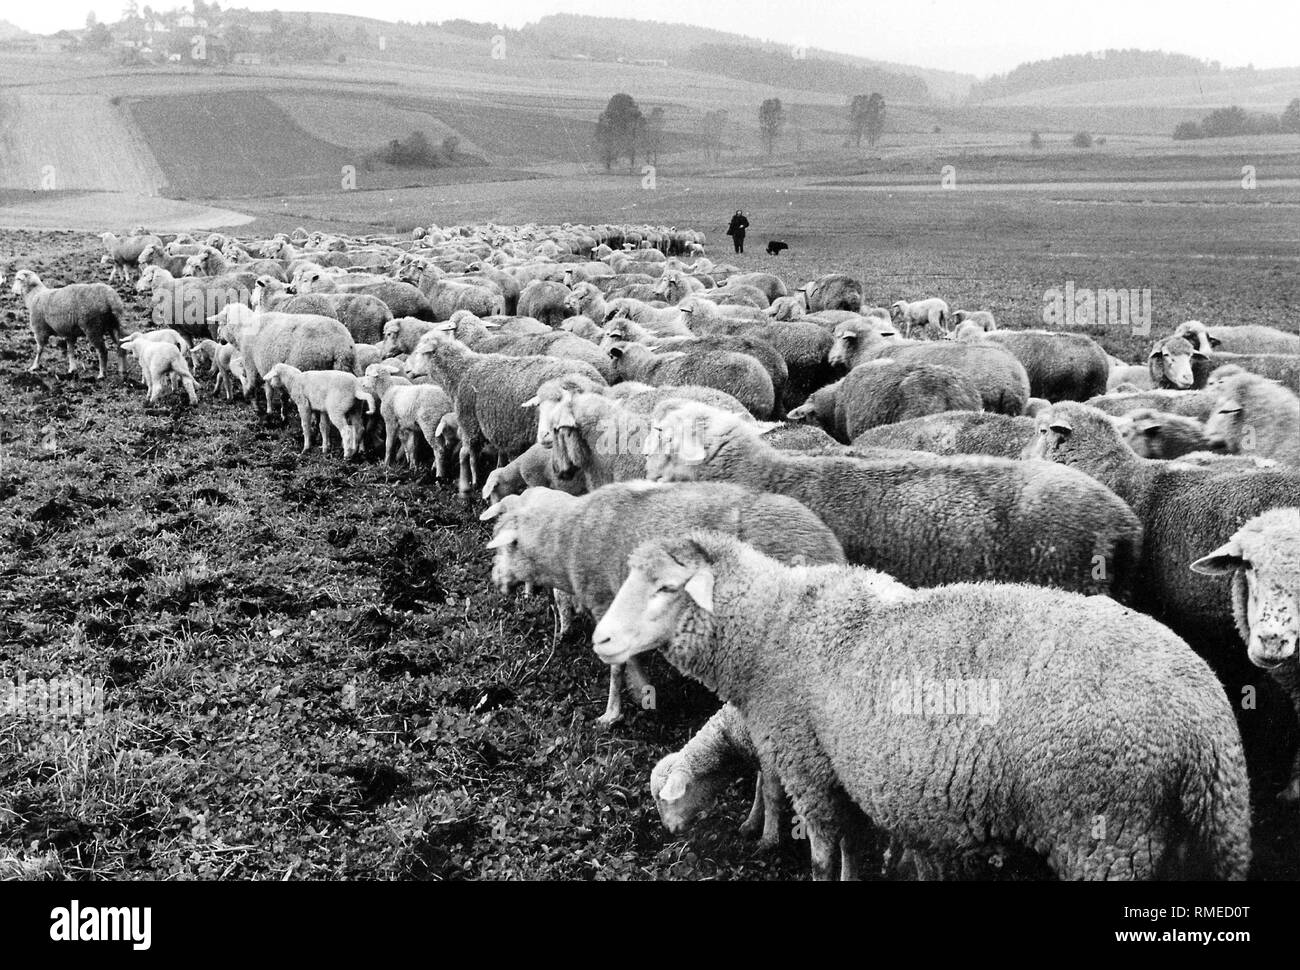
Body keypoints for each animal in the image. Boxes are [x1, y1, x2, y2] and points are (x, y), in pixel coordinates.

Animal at [211, 304, 356, 417]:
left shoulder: (251, 363)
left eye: (221, 323)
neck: (243, 331)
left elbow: (253, 386)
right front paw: (275, 411)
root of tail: (341, 348)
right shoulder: (267, 367)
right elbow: (272, 392)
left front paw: (255, 406)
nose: (218, 339)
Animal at [403, 330, 606, 494]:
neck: (462, 372)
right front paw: (498, 467)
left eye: (420, 352)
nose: (406, 369)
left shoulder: (471, 424)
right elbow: (500, 453)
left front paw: (475, 481)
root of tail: (595, 378)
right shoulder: (501, 426)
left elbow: (471, 456)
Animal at [481, 481, 845, 725]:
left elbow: (617, 667)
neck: (569, 538)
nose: (496, 581)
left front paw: (615, 710)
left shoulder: (606, 607)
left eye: (506, 545)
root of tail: (831, 547)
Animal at [651, 703, 789, 849]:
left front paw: (768, 839)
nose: (667, 829)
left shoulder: (772, 757)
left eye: (665, 799)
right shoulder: (762, 758)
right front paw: (751, 824)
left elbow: (770, 795)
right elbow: (760, 790)